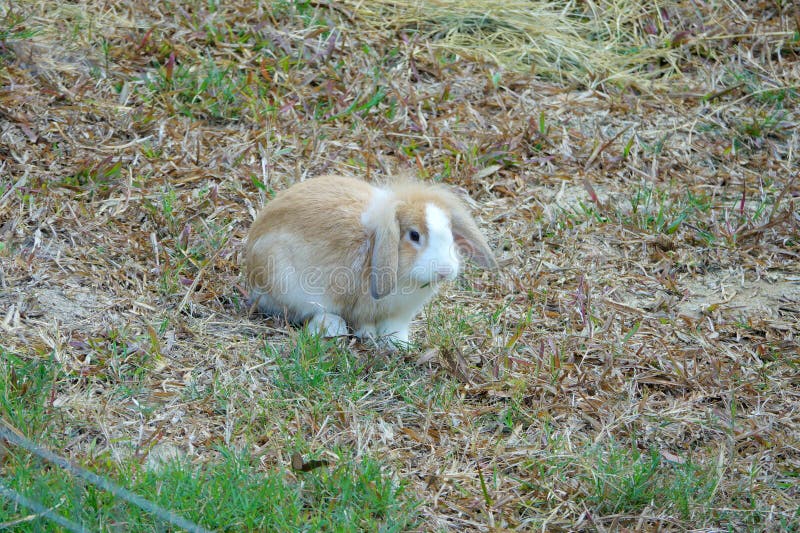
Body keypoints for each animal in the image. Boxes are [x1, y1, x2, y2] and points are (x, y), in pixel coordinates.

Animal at [244, 175, 497, 348]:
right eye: (414, 235)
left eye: (450, 232)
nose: (444, 270)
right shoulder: (363, 306)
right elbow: (363, 322)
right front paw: (368, 336)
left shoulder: (399, 314)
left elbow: (394, 328)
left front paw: (400, 345)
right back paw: (332, 327)